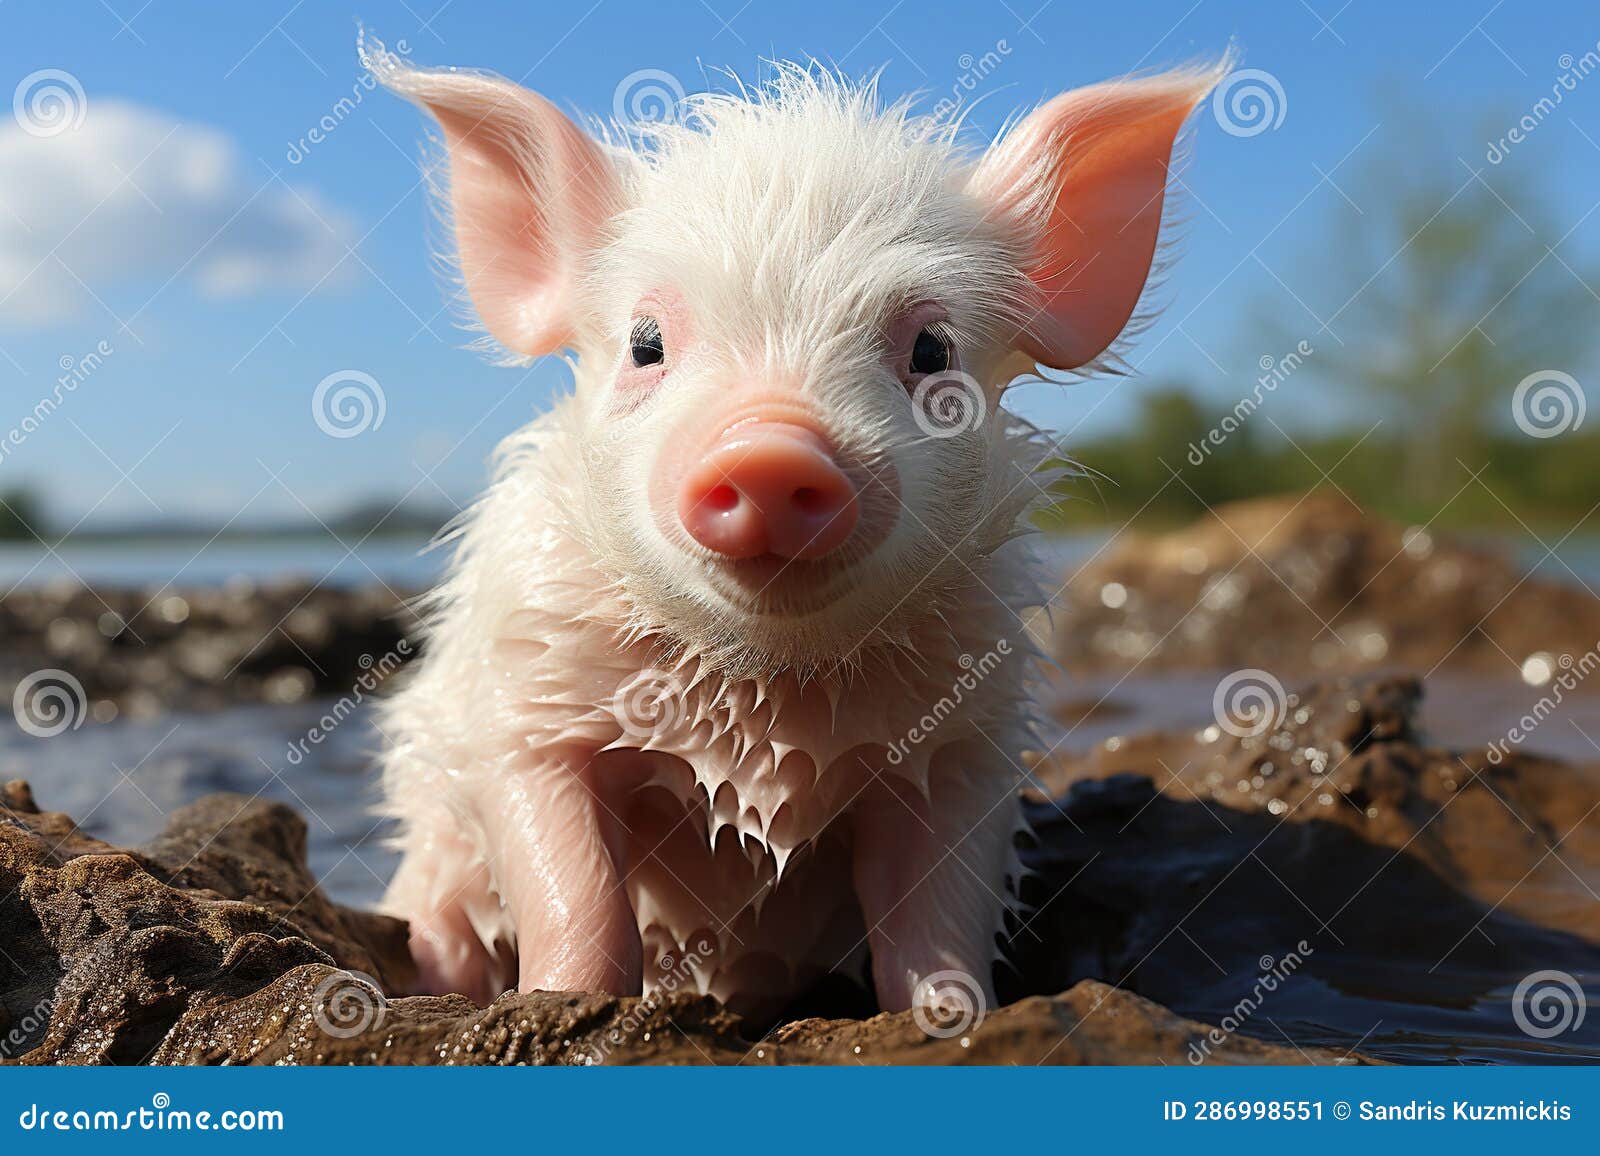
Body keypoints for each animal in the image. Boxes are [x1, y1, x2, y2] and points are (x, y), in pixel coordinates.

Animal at [367, 36, 1225, 1021]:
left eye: (931, 350)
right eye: (646, 343)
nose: (771, 449)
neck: (767, 691)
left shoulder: (970, 734)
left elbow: (936, 907)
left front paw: (949, 1020)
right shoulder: (524, 702)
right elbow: (571, 885)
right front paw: (558, 1005)